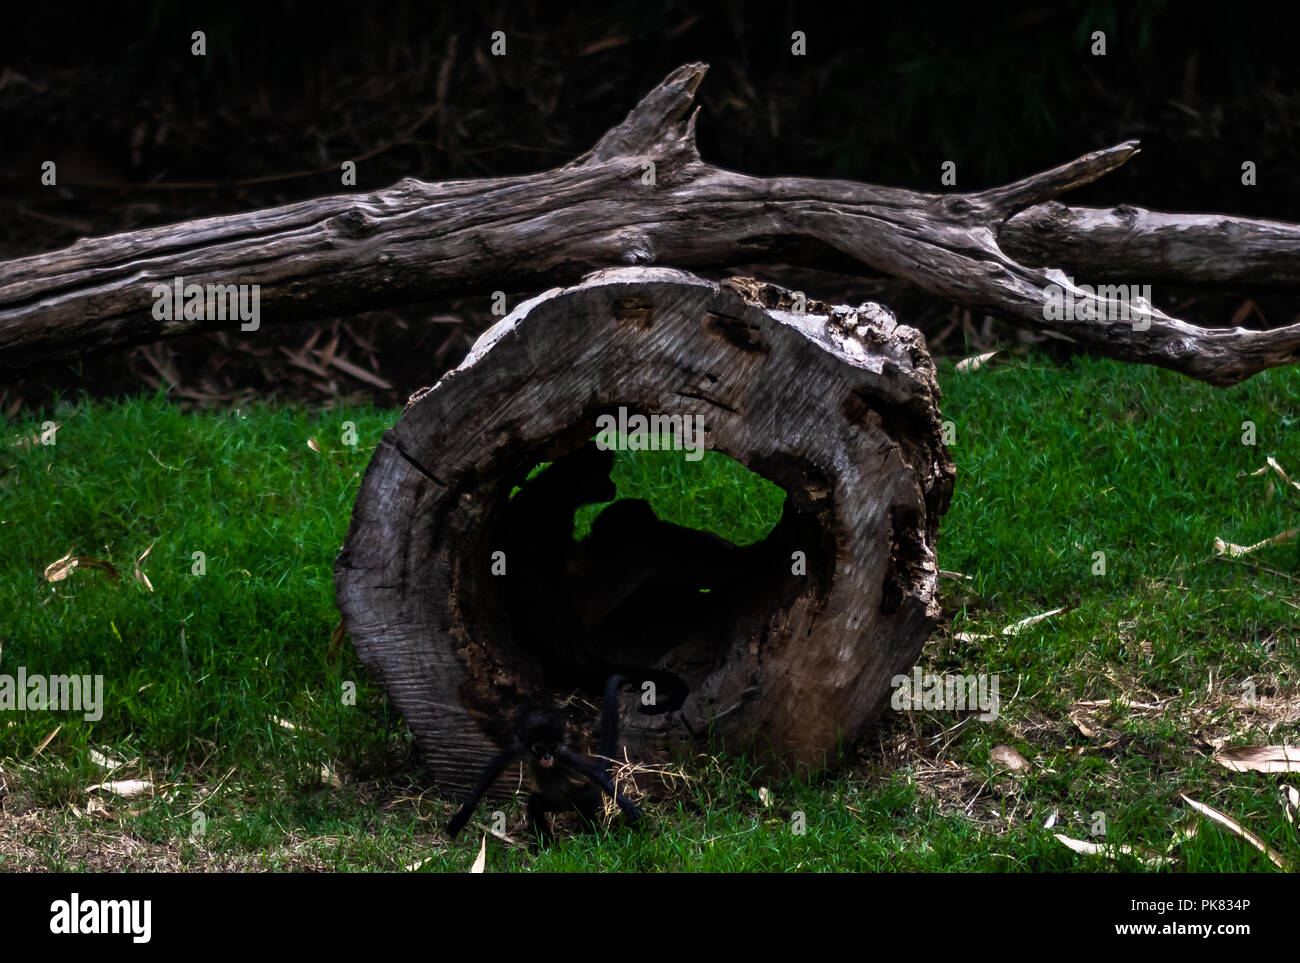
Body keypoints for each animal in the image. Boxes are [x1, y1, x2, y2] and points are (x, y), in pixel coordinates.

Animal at [446, 675, 641, 849]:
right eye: (539, 748)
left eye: (553, 747)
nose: (548, 757)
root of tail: (565, 808)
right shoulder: (521, 749)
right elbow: (496, 767)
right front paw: (461, 816)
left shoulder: (563, 755)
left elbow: (595, 774)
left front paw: (627, 806)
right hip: (555, 804)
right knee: (535, 803)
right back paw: (546, 844)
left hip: (587, 796)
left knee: (581, 798)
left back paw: (593, 835)